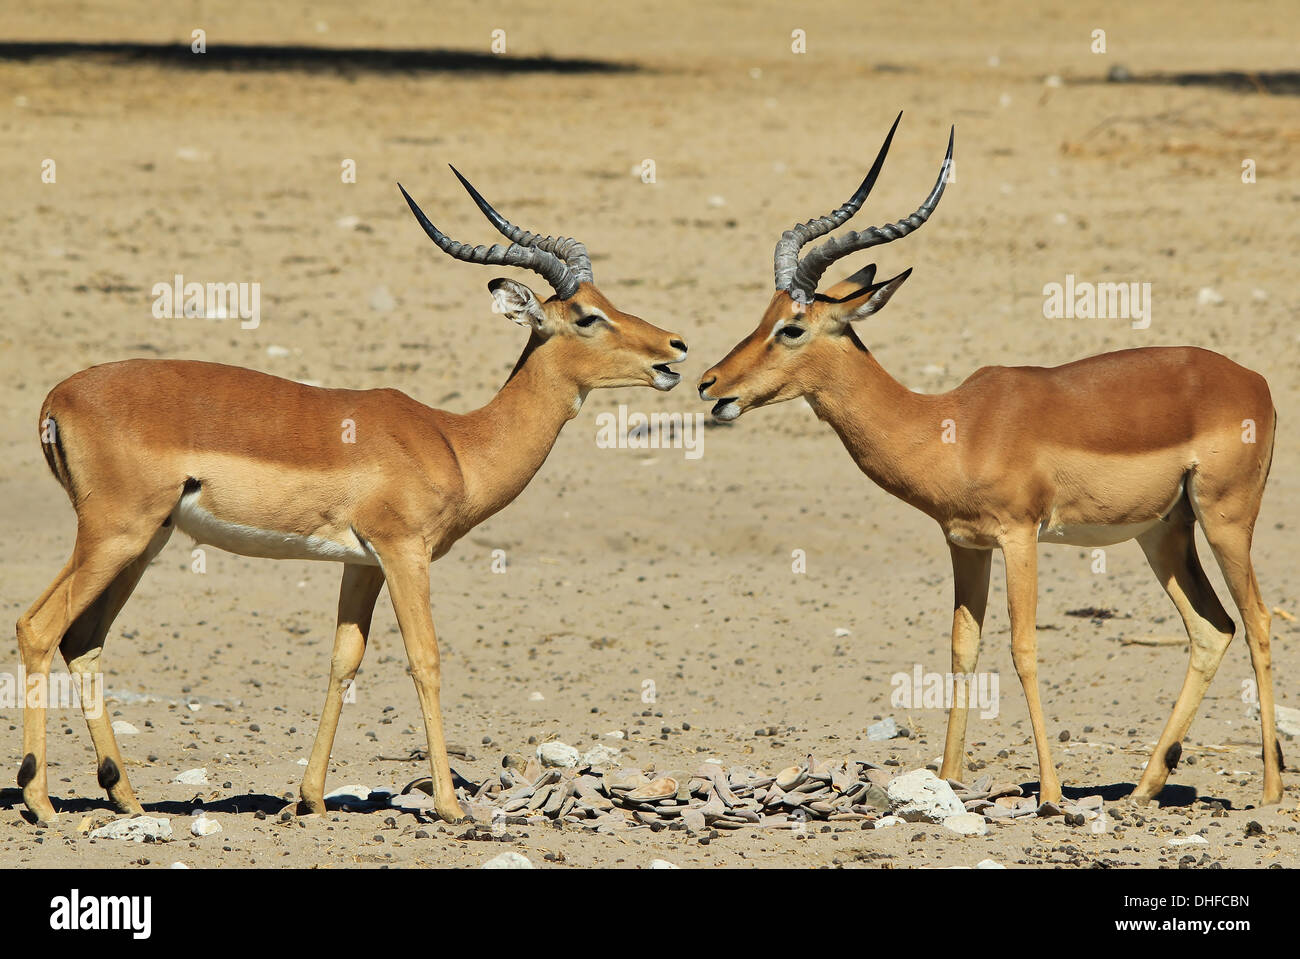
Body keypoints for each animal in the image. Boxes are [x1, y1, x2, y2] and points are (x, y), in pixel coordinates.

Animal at [17, 169, 687, 825]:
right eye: (586, 316)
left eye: (607, 302)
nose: (675, 347)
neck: (455, 441)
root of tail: (57, 399)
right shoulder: (404, 552)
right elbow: (426, 659)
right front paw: (449, 807)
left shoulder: (362, 564)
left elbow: (344, 661)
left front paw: (310, 798)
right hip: (115, 533)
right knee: (38, 627)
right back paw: (41, 801)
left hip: (145, 542)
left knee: (83, 640)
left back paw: (125, 797)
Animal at [699, 114, 1282, 806]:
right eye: (763, 314)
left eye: (792, 327)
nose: (709, 384)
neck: (950, 426)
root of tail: (1254, 382)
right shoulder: (966, 544)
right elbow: (963, 648)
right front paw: (948, 778)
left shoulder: (1019, 536)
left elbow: (1023, 647)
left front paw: (1051, 792)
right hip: (1163, 534)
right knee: (1212, 629)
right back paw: (1144, 787)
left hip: (1225, 521)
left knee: (1258, 621)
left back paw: (1270, 792)